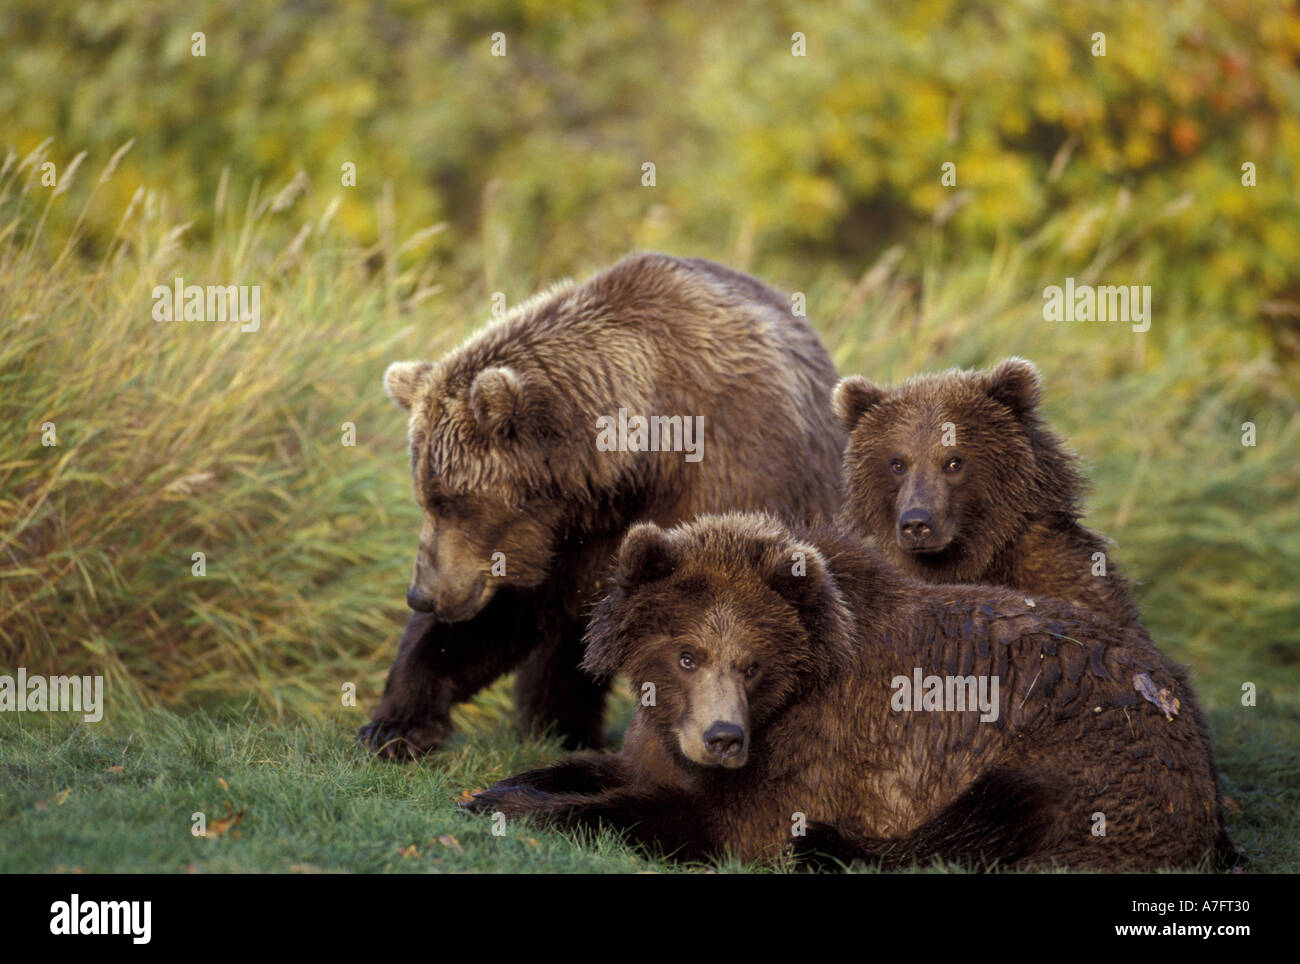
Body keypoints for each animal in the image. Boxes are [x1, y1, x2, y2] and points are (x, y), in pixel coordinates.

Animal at [358, 253, 846, 758]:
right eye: (426, 496)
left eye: (451, 501)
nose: (421, 595)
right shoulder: (557, 533)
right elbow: (499, 615)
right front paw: (396, 724)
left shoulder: (730, 474)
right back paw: (558, 728)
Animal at [462, 512, 1226, 870]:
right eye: (686, 655)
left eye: (753, 665)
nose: (723, 737)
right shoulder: (666, 735)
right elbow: (613, 767)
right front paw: (506, 784)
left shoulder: (824, 745)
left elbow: (723, 823)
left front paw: (518, 807)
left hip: (1088, 756)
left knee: (998, 811)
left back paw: (833, 844)